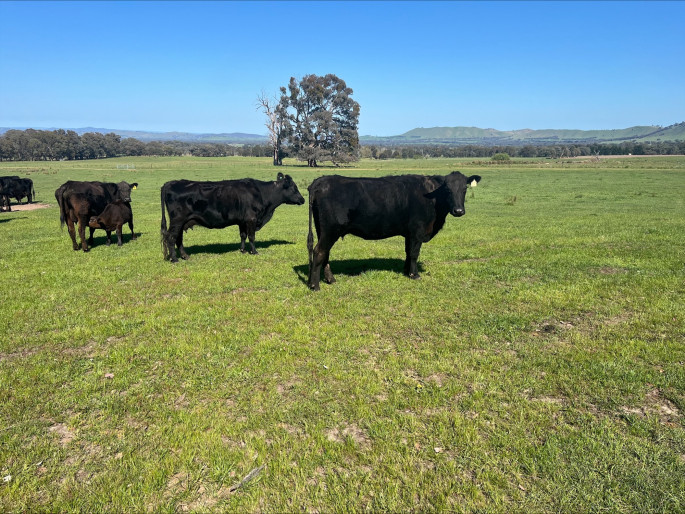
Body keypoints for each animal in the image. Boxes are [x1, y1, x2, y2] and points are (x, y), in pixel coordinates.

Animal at [161, 172, 305, 262]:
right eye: (294, 188)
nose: (303, 199)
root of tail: (171, 182)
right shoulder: (251, 219)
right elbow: (251, 236)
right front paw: (254, 252)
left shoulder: (242, 221)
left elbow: (243, 235)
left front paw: (242, 250)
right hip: (177, 221)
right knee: (171, 237)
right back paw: (175, 259)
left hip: (181, 222)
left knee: (178, 239)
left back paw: (185, 256)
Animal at [306, 171, 482, 290]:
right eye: (447, 189)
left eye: (465, 189)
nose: (459, 211)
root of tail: (321, 180)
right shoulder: (417, 230)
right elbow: (414, 253)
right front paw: (415, 275)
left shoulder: (409, 233)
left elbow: (408, 252)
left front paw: (406, 271)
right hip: (331, 230)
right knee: (319, 251)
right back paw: (315, 285)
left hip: (323, 230)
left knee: (325, 253)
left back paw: (330, 279)